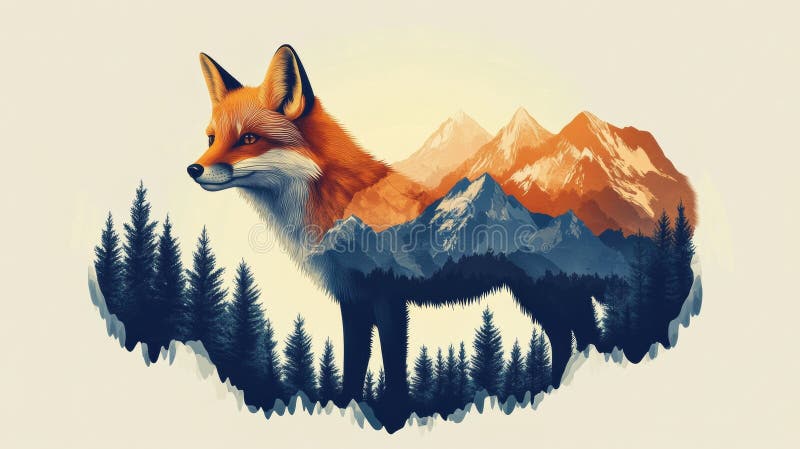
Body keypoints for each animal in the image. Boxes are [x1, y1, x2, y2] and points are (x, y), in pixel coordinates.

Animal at [189, 45, 577, 430]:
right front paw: (344, 409)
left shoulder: (388, 295)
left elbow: (393, 364)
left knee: (568, 337)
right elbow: (354, 364)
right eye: (211, 138)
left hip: (539, 293)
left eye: (248, 139)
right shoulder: (352, 299)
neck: (334, 202)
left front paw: (393, 419)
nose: (193, 169)